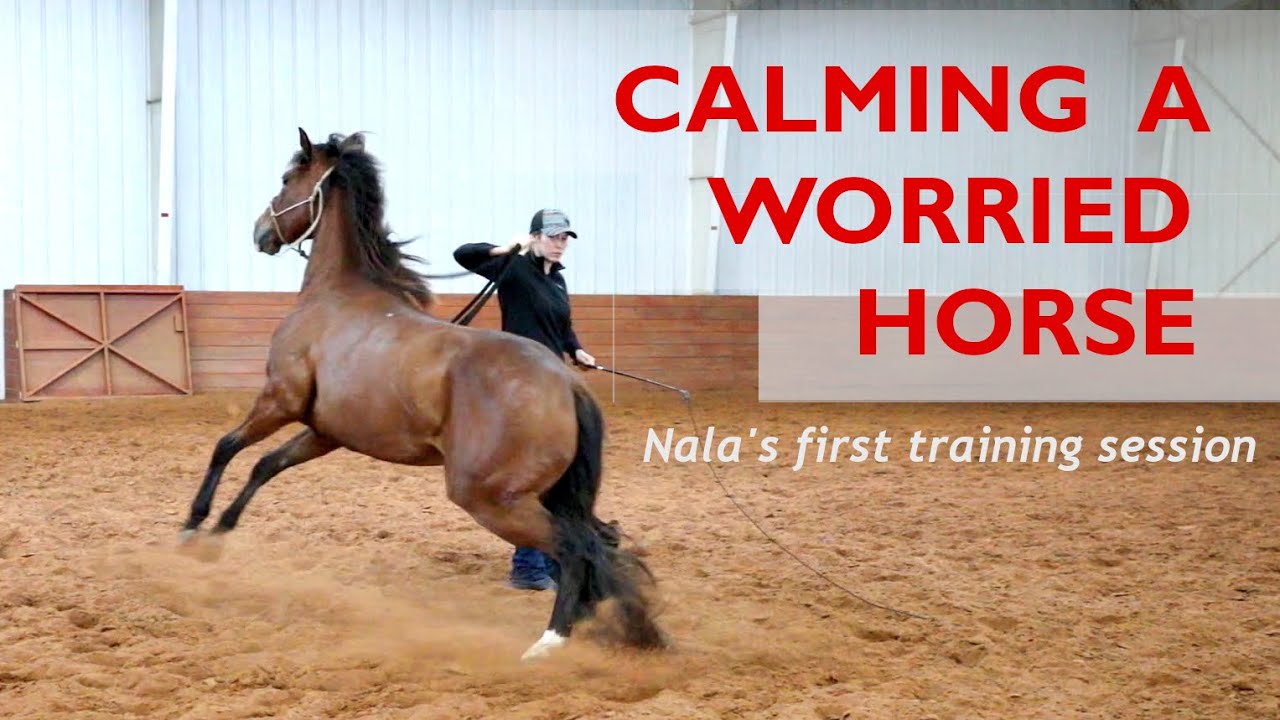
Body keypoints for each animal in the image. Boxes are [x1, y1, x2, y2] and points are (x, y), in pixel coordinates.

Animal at [178, 128, 666, 661]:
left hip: (491, 498)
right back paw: (628, 626)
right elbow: (265, 466)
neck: (335, 297)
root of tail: (566, 382)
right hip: (549, 494)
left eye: (288, 179)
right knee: (603, 541)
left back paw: (550, 641)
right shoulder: (325, 432)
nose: (261, 231)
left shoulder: (279, 399)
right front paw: (218, 535)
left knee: (577, 548)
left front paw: (192, 528)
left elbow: (225, 446)